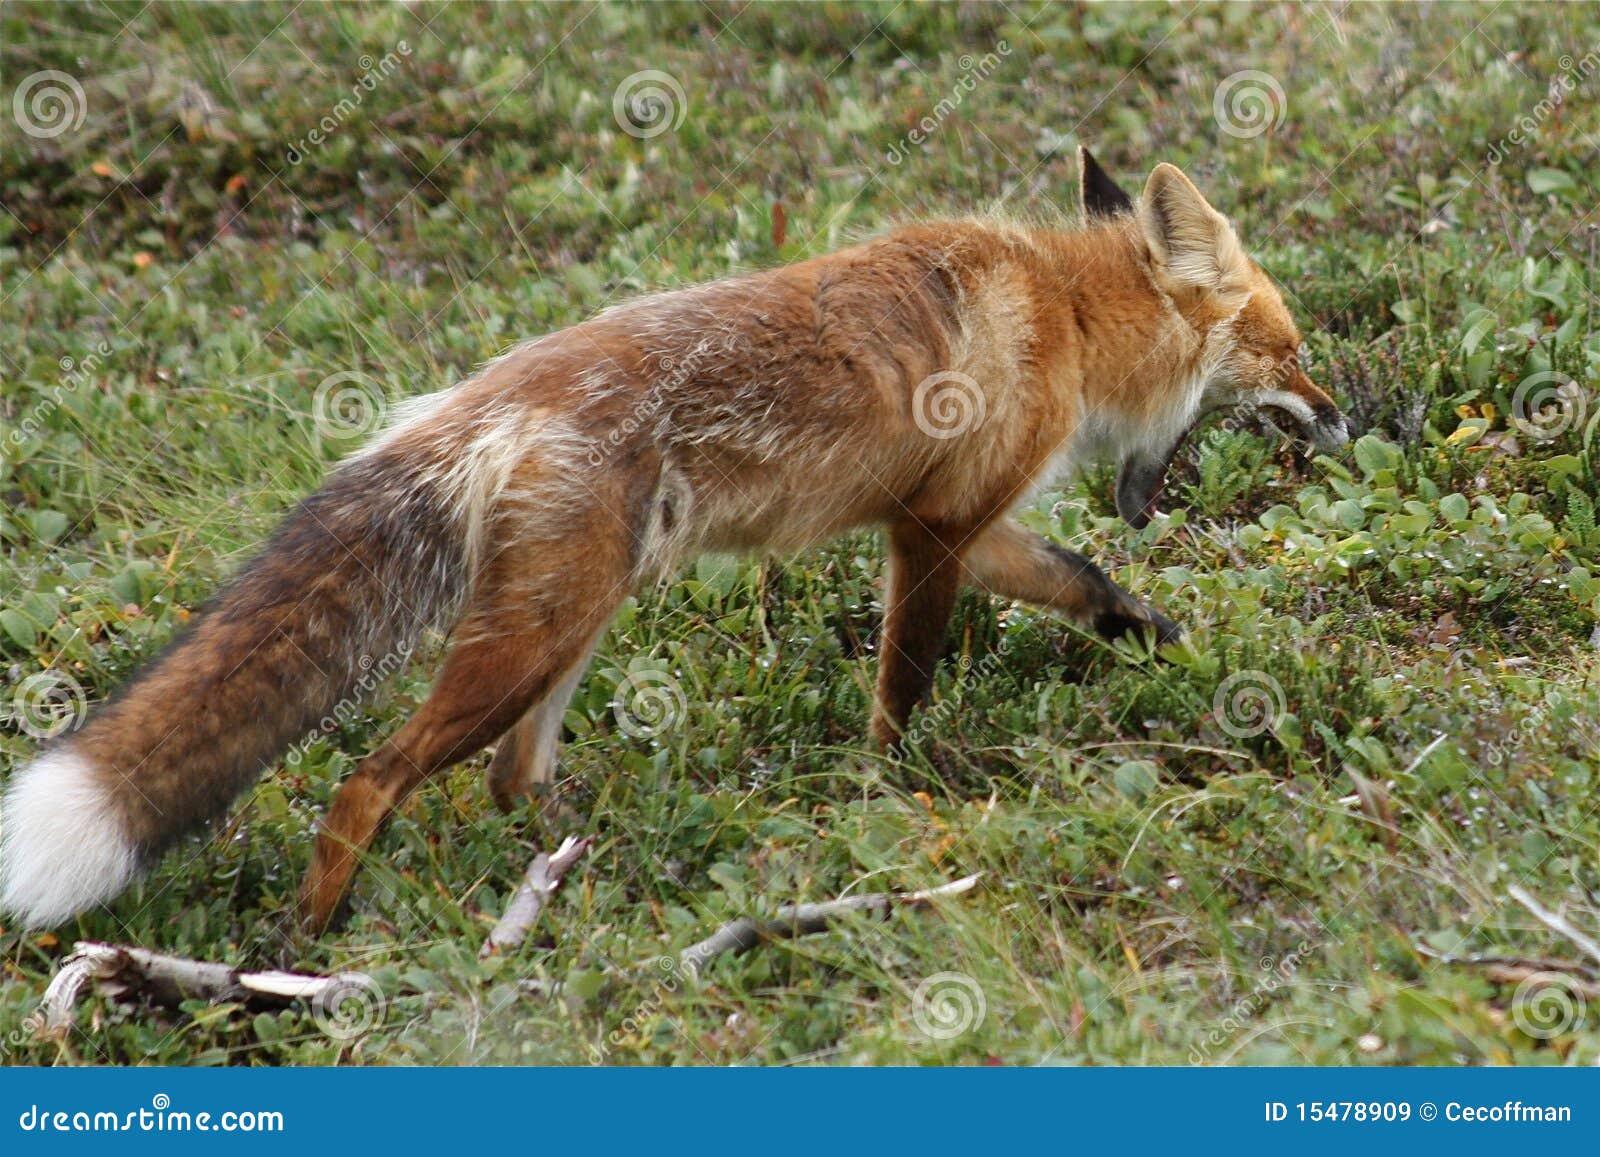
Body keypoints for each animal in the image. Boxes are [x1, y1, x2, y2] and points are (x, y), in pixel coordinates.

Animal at [0, 151, 1350, 934]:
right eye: (1290, 350)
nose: (1345, 418)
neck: (1062, 308)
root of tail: (484, 393)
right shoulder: (932, 528)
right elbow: (904, 686)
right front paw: (899, 791)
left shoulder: (961, 521)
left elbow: (1084, 578)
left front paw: (1156, 639)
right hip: (527, 640)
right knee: (371, 775)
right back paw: (307, 942)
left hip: (568, 625)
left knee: (514, 777)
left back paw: (582, 863)